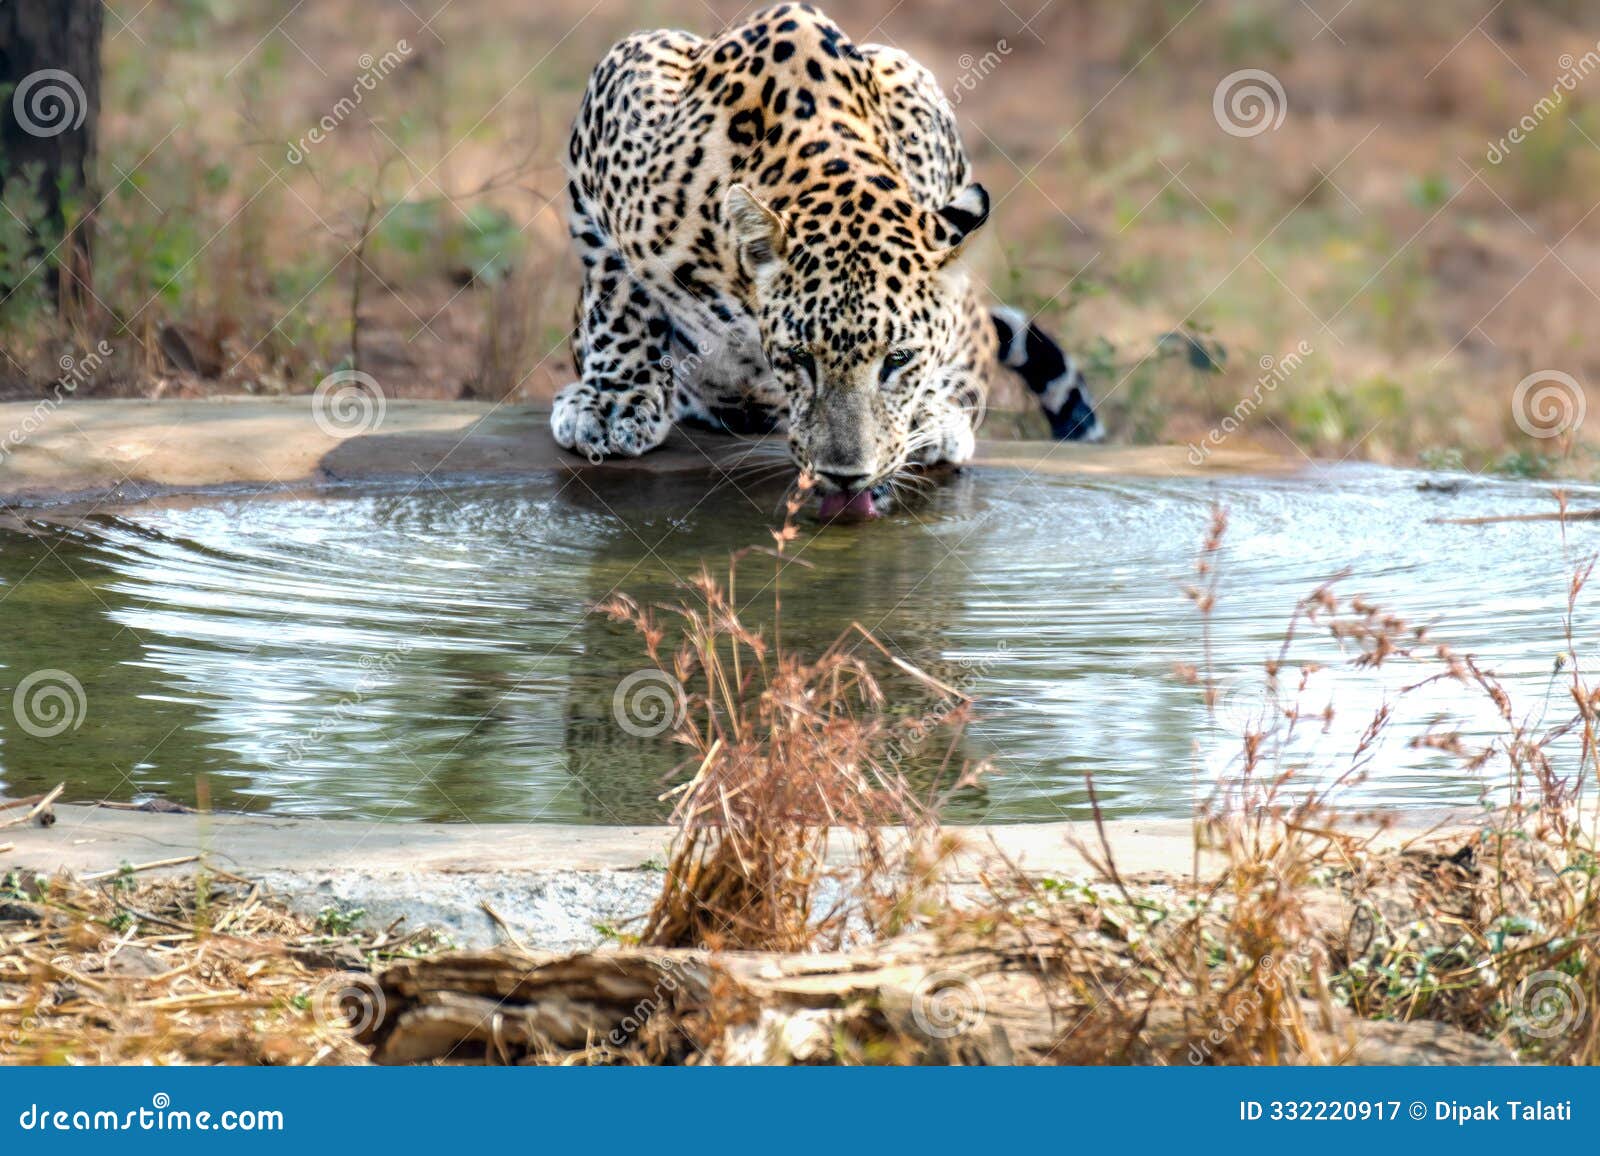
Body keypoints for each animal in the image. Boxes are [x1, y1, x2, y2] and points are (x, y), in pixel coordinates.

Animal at [553, 3, 1100, 518]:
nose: (846, 476)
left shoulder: (918, 92)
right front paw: (612, 403)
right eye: (799, 358)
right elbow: (617, 290)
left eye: (898, 359)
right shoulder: (618, 97)